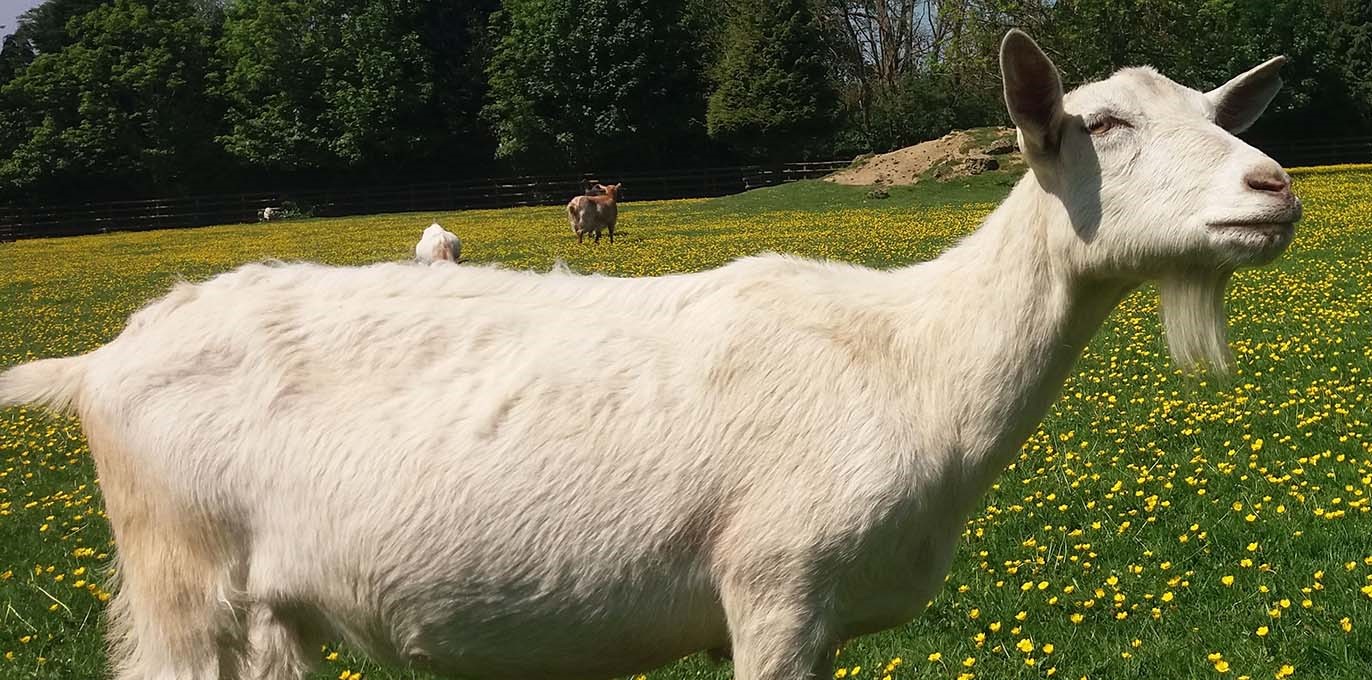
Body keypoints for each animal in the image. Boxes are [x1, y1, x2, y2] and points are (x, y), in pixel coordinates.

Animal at [0, 31, 1298, 680]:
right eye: (1103, 124)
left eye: (1216, 111)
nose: (1273, 187)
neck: (909, 357)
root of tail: (103, 359)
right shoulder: (775, 586)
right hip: (180, 581)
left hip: (265, 611)